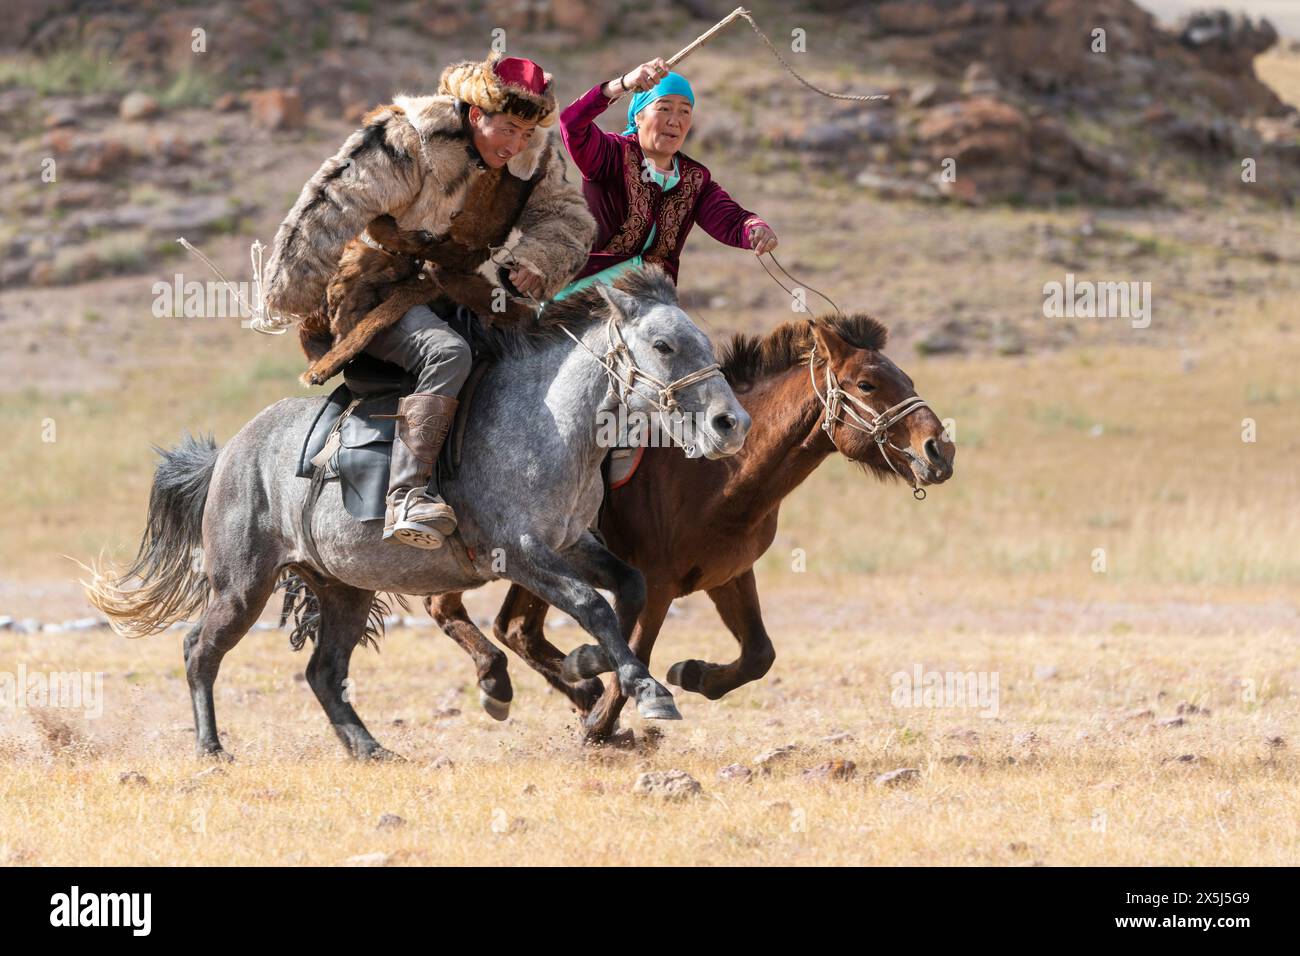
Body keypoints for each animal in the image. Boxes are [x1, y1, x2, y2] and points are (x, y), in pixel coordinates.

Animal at [81, 266, 751, 759]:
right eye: (663, 345)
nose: (732, 424)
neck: (554, 423)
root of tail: (229, 454)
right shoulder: (520, 554)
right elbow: (590, 604)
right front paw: (646, 689)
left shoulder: (571, 544)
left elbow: (629, 588)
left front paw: (590, 664)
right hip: (242, 584)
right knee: (200, 650)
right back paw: (211, 748)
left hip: (344, 590)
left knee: (323, 671)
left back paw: (370, 748)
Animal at [425, 311, 955, 739]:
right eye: (867, 385)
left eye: (905, 378)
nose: (939, 450)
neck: (719, 472)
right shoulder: (657, 583)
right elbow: (638, 647)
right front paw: (605, 724)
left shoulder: (729, 575)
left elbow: (759, 654)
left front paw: (691, 675)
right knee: (454, 608)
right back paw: (510, 682)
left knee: (513, 627)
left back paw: (564, 686)